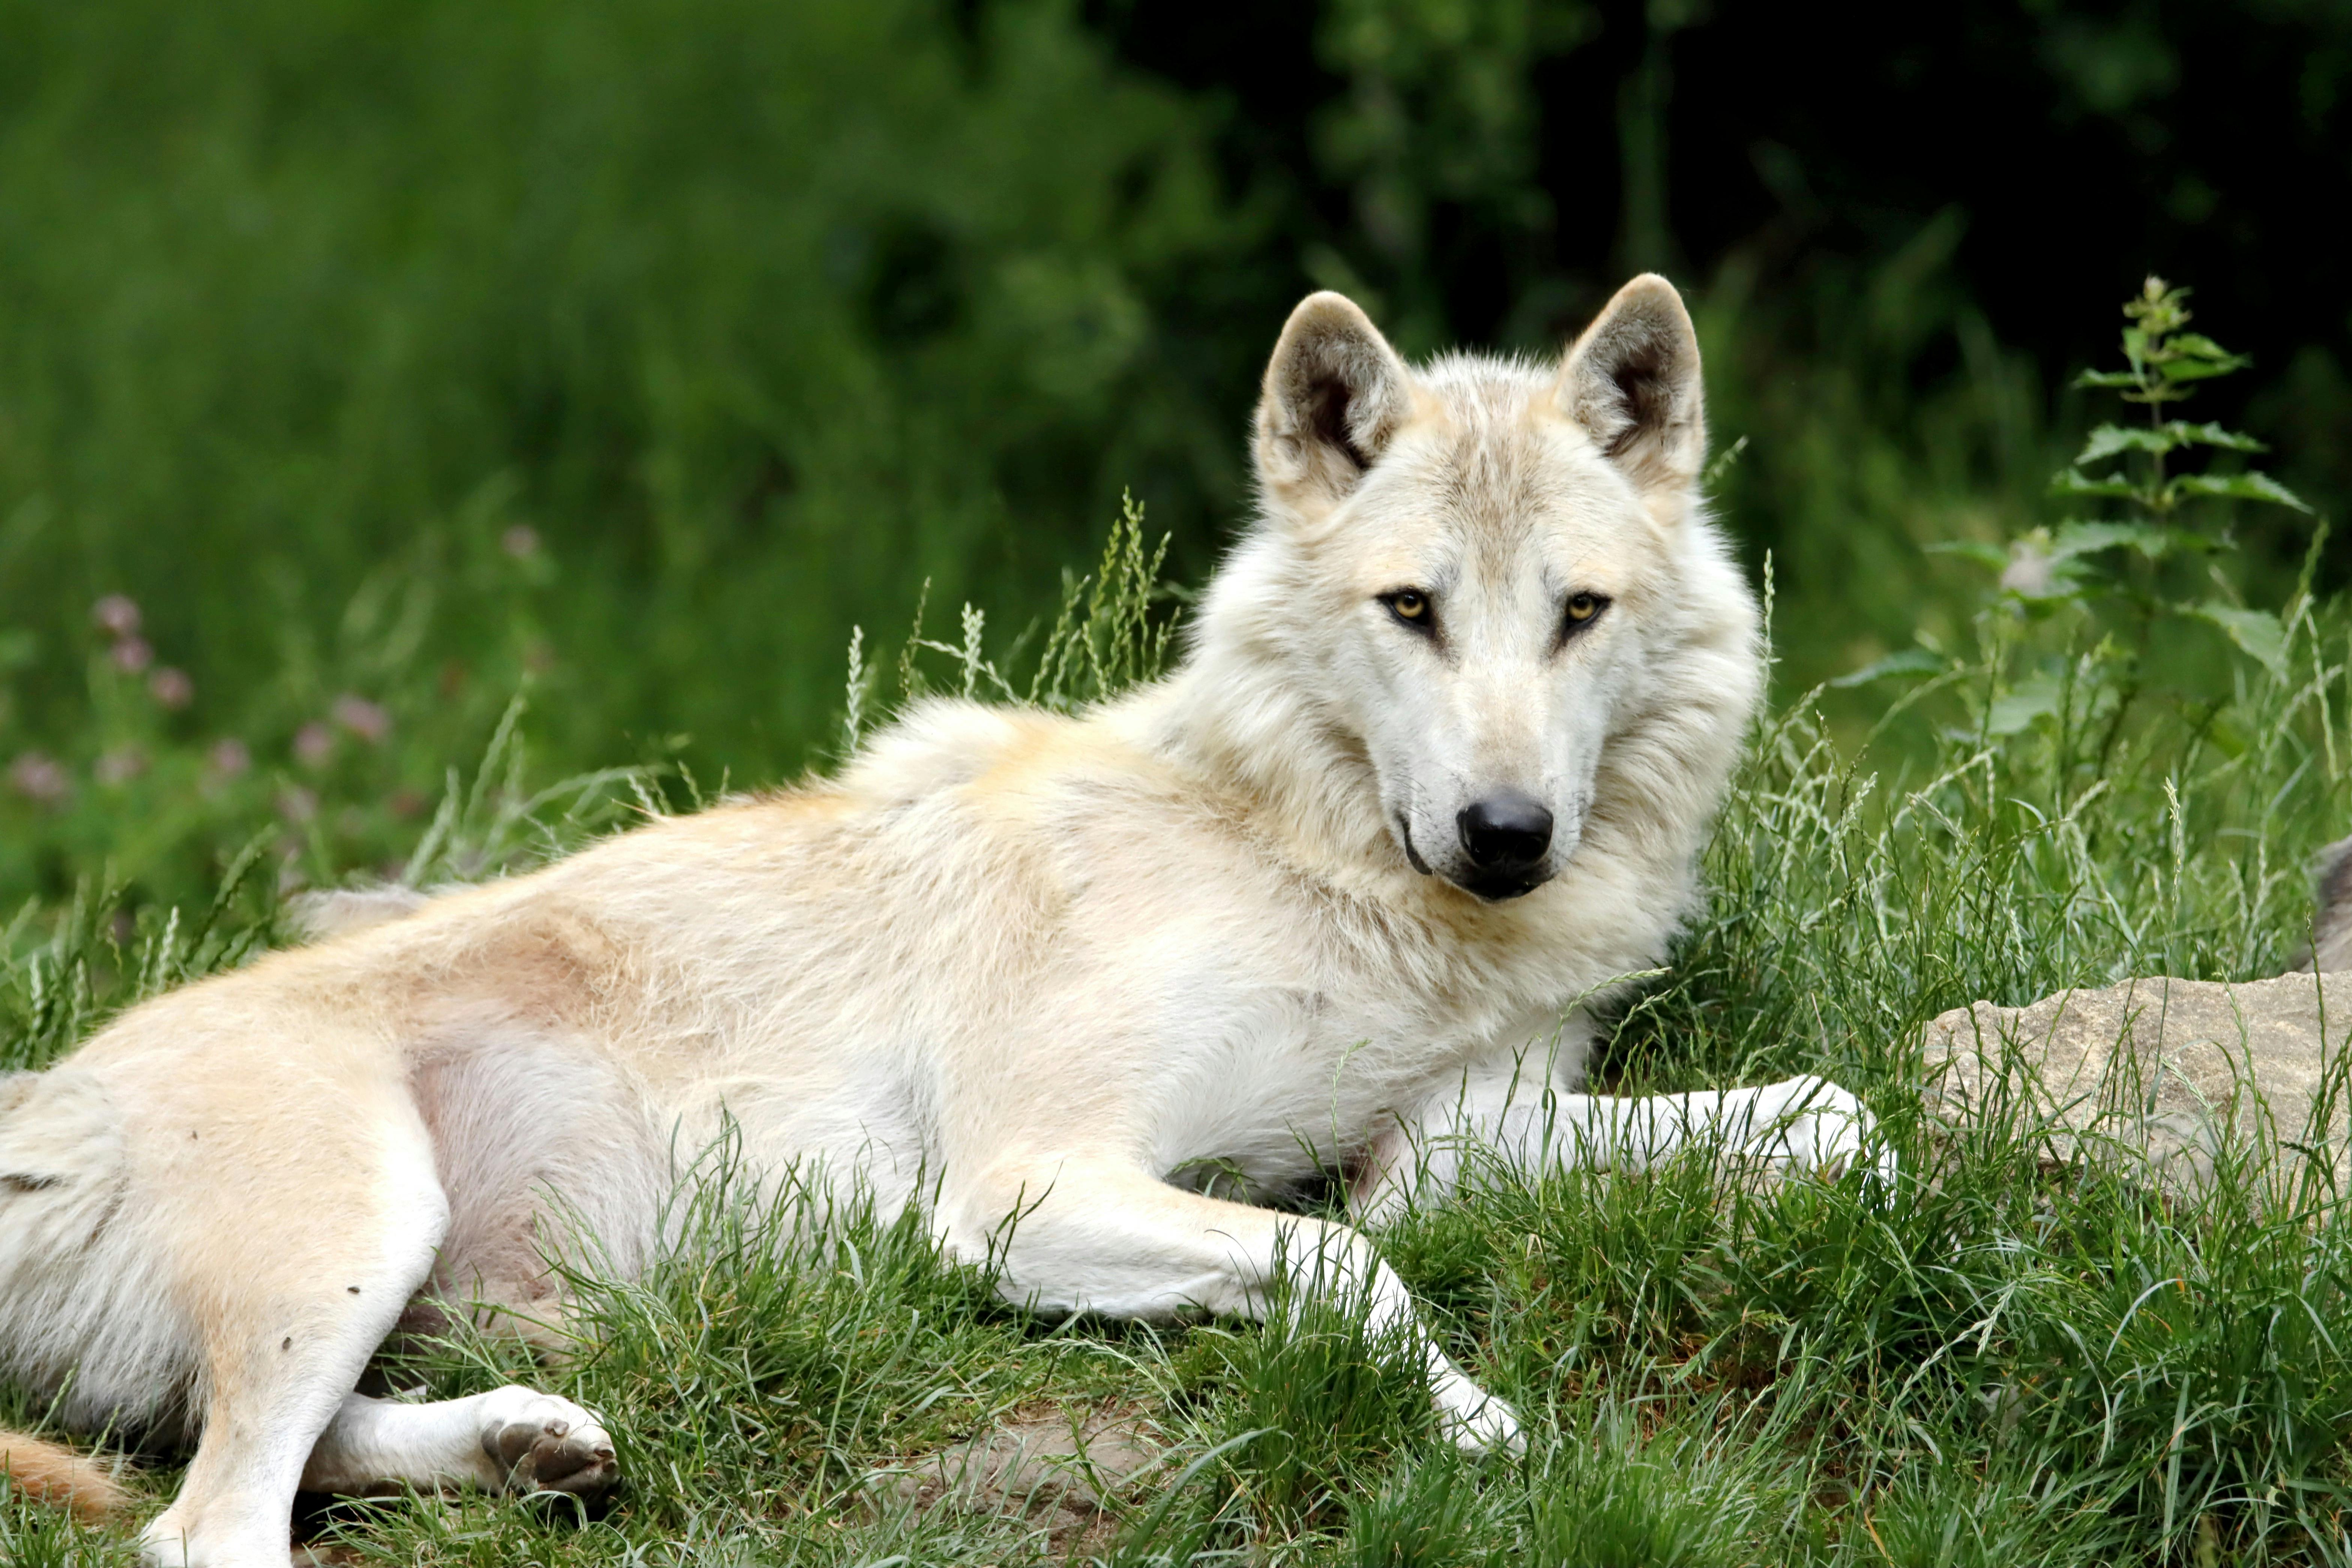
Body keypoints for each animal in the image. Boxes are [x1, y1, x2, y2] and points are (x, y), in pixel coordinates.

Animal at [0, 275, 1882, 1566]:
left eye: (1579, 612)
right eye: (1412, 608)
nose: (1506, 836)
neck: (1327, 863)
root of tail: (45, 1106)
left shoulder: (1448, 1143)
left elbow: (1836, 1112)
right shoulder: (1026, 1185)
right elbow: (1346, 1263)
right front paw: (1489, 1425)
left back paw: (529, 1446)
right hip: (361, 1226)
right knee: (202, 1524)